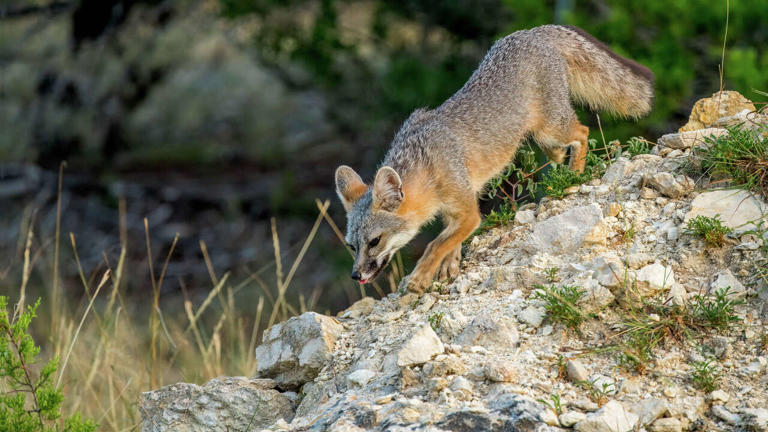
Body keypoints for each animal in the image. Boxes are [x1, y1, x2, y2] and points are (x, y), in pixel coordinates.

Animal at [334, 24, 654, 294]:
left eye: (375, 241)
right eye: (351, 246)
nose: (356, 275)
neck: (425, 164)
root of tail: (532, 31)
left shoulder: (469, 212)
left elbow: (435, 244)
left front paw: (421, 276)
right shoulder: (457, 207)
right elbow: (449, 240)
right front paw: (449, 266)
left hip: (551, 129)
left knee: (583, 133)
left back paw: (574, 174)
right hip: (543, 138)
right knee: (560, 150)